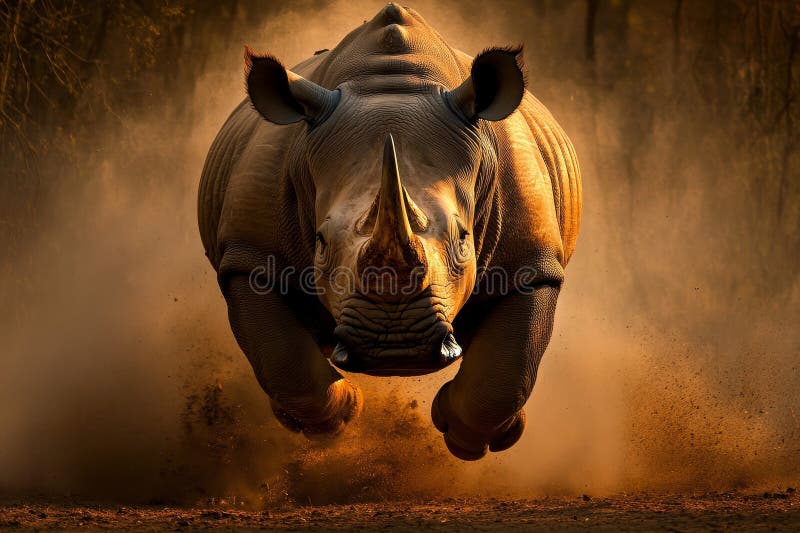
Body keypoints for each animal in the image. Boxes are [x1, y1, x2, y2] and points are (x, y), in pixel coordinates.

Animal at [198, 3, 581, 460]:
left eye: (464, 240)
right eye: (320, 243)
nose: (395, 345)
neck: (392, 83)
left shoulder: (531, 262)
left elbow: (507, 372)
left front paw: (470, 439)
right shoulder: (249, 257)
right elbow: (283, 359)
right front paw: (339, 416)